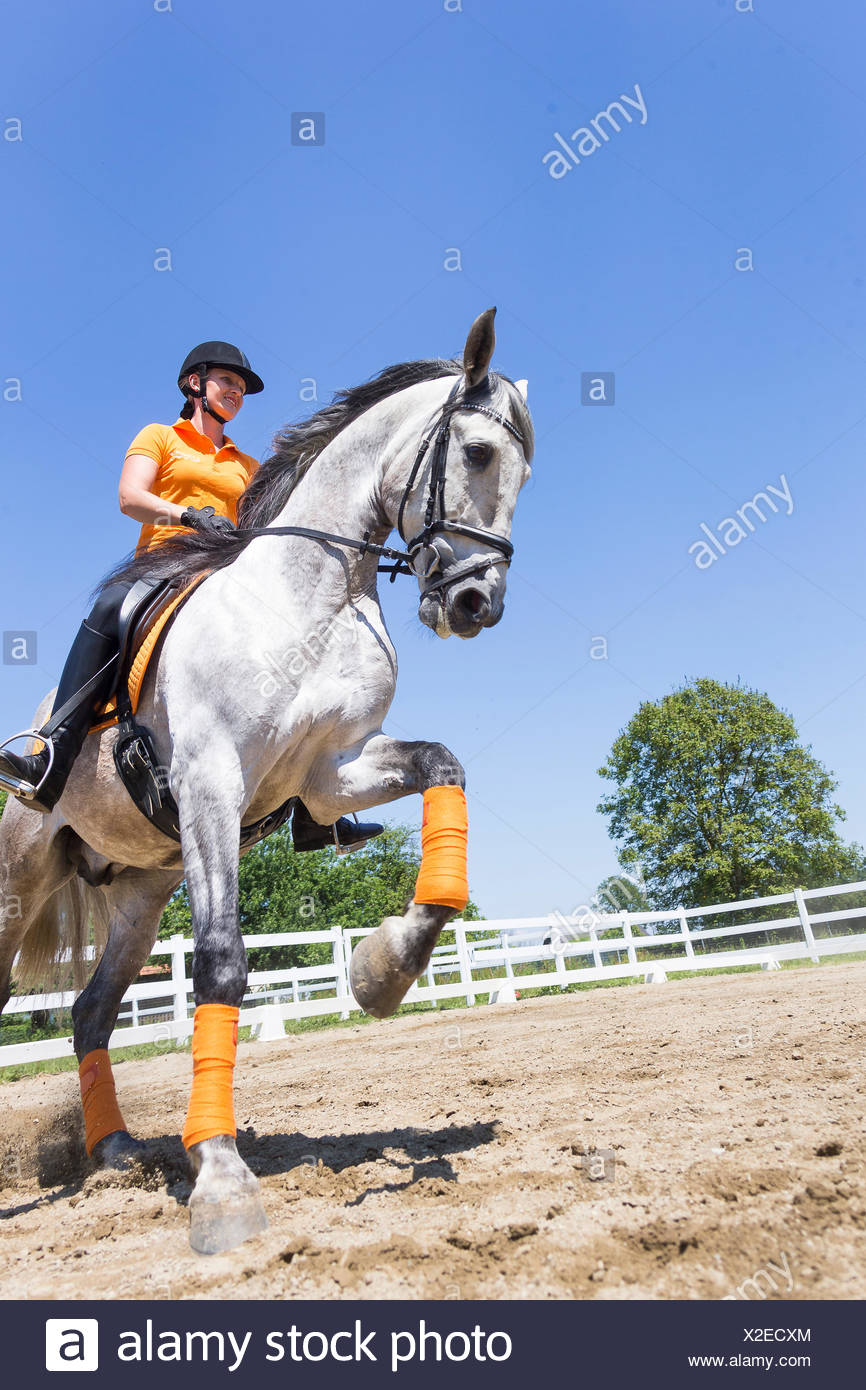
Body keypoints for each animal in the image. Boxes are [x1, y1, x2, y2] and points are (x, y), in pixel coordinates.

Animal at [0, 307, 533, 1253]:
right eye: (475, 453)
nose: (478, 605)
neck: (314, 596)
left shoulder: (331, 775)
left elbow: (445, 772)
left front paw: (385, 970)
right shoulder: (212, 783)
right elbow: (220, 967)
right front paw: (220, 1180)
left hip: (144, 889)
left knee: (92, 1013)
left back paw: (114, 1153)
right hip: (18, 881)